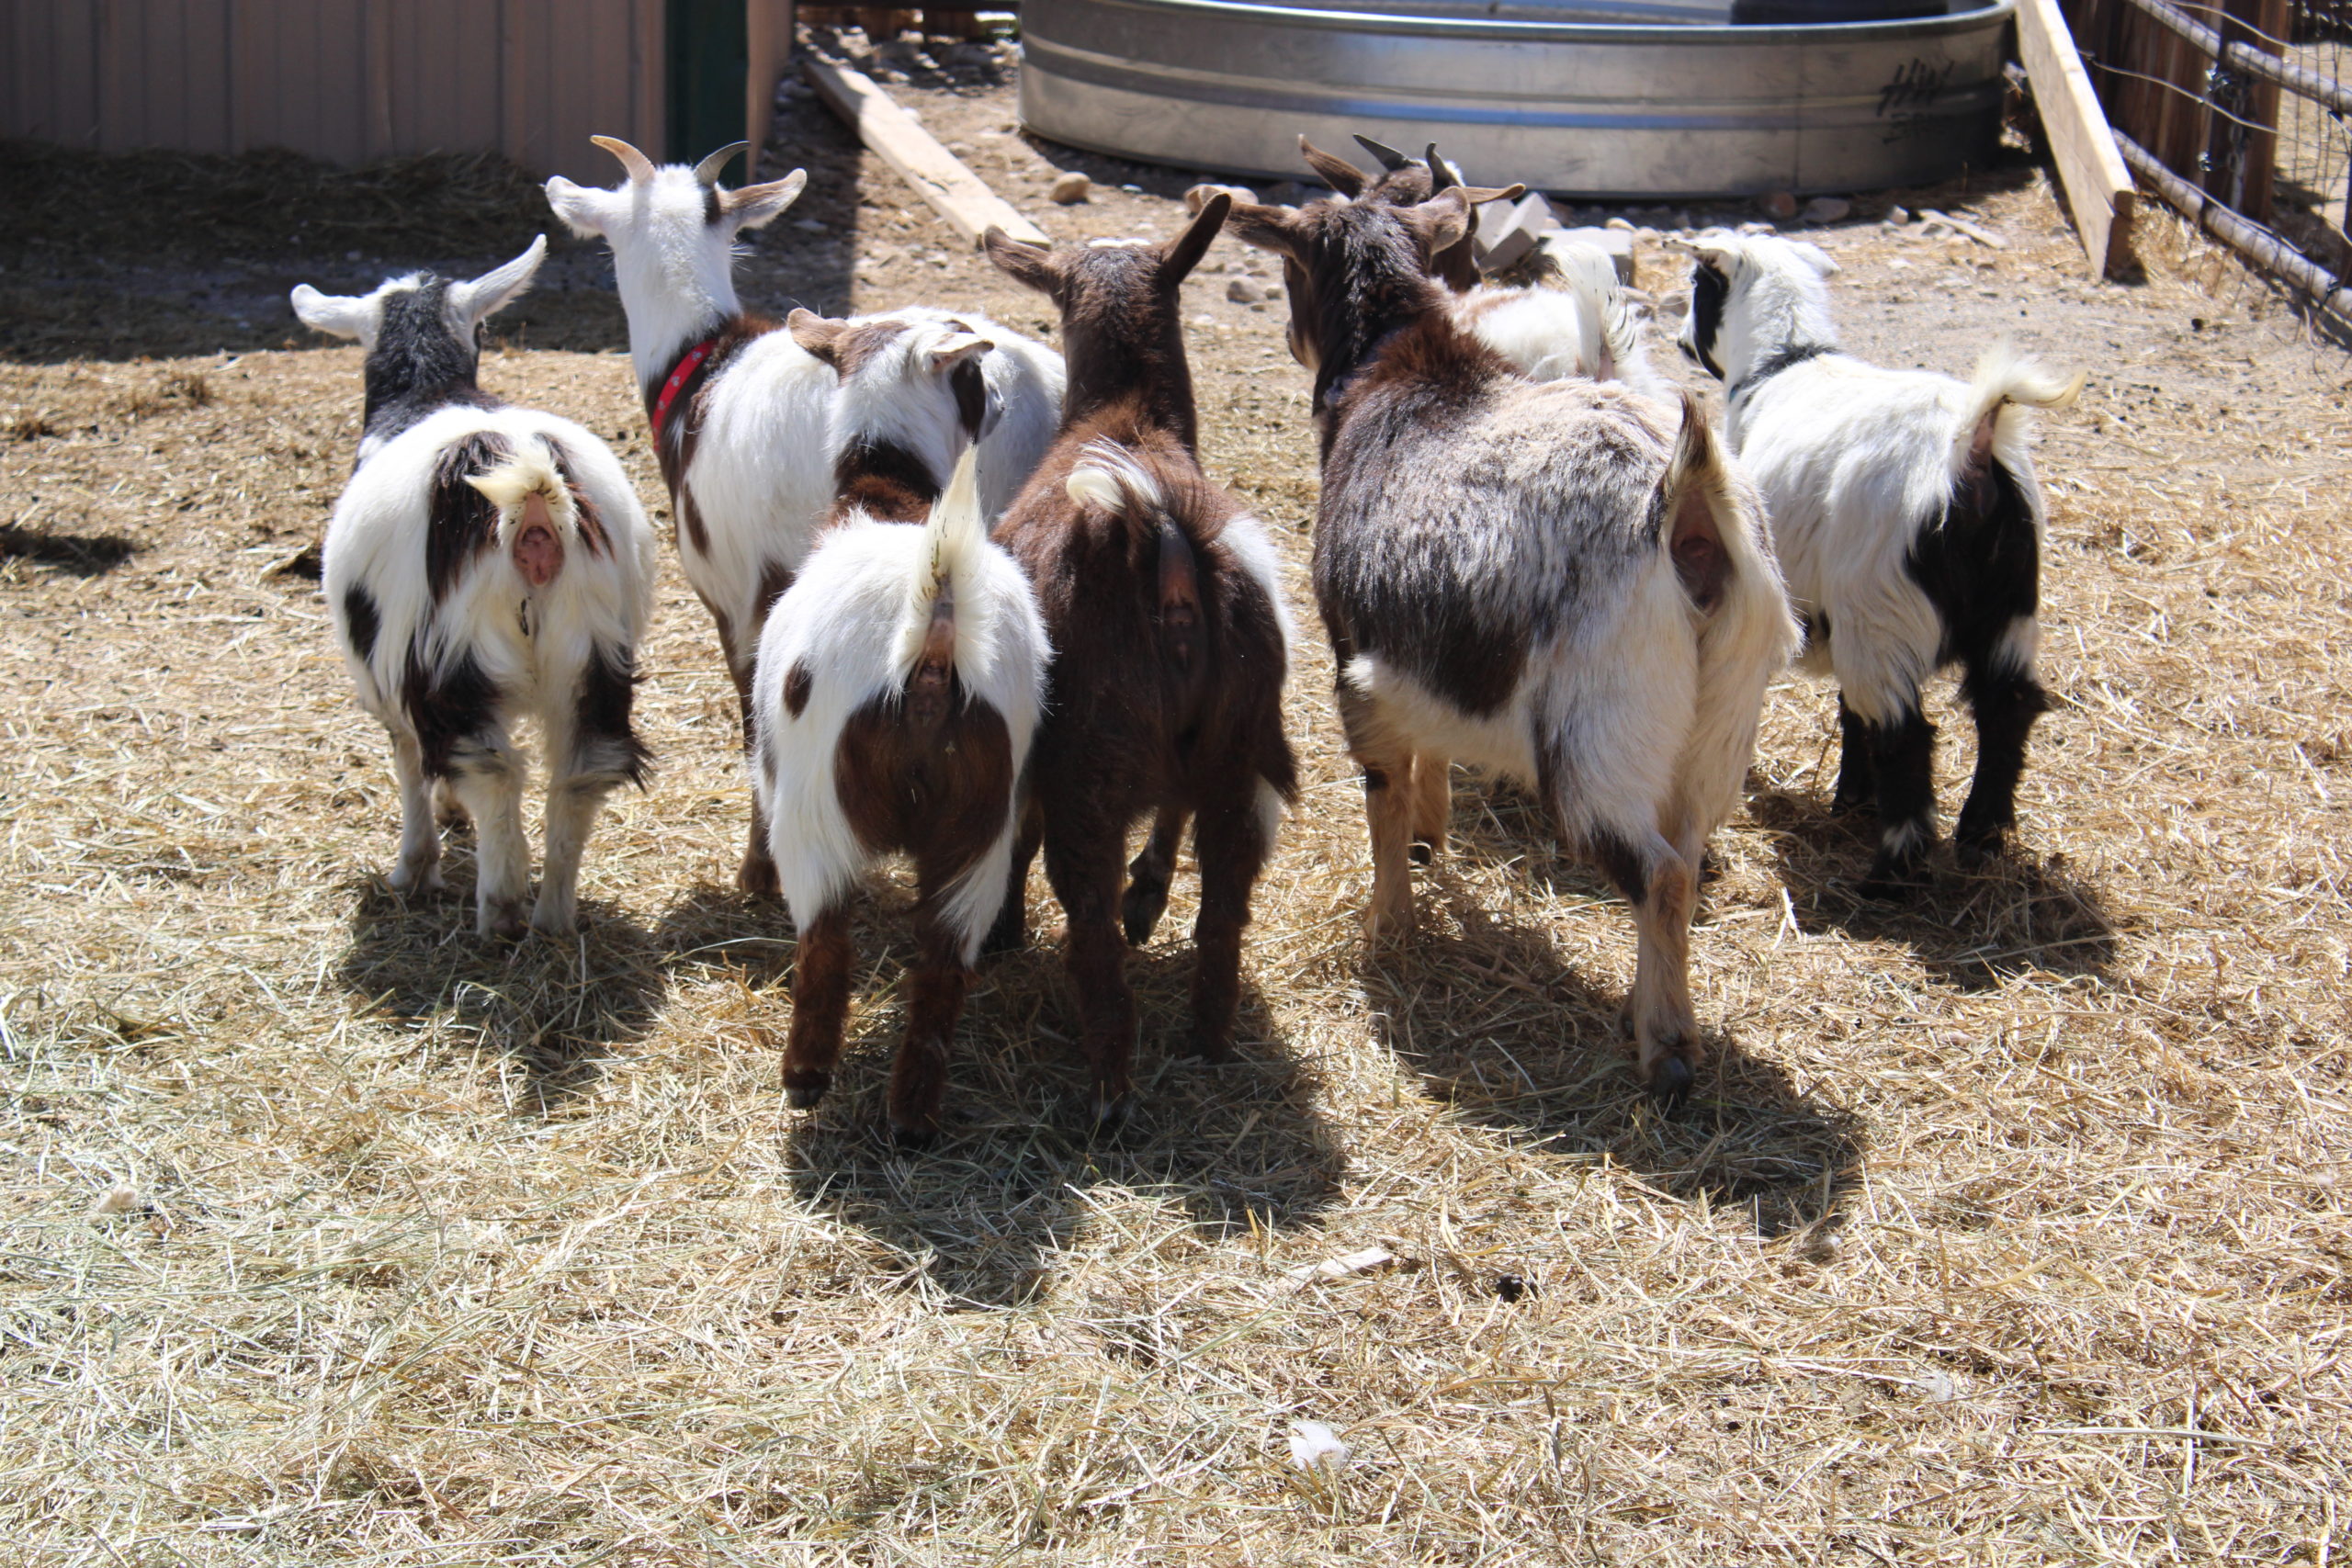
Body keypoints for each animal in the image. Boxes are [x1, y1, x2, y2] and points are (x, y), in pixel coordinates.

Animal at [294, 239, 658, 937]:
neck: (431, 389)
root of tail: (533, 496)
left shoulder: (390, 672)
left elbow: (408, 759)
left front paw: (415, 866)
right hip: (594, 650)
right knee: (581, 771)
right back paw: (552, 915)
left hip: (448, 650)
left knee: (488, 766)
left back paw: (501, 908)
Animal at [750, 315, 1049, 1145]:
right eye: (973, 374)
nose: (1000, 396)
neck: (889, 499)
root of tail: (935, 637)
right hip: (981, 826)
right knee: (945, 964)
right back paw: (913, 1115)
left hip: (815, 814)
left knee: (825, 943)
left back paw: (806, 1076)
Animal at [978, 192, 1298, 1125]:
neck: (1123, 417)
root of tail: (1157, 533)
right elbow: (1170, 821)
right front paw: (1148, 896)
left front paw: (1004, 927)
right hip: (1240, 755)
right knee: (1224, 910)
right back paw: (1208, 1037)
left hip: (1093, 760)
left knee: (1089, 931)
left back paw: (1110, 1094)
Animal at [1225, 188, 1797, 1099]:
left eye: (1289, 268)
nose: (1286, 334)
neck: (1408, 369)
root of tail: (1689, 495)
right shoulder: (1427, 651)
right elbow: (1428, 751)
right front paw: (1432, 840)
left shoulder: (1355, 659)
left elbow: (1382, 790)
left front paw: (1388, 928)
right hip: (1716, 725)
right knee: (1687, 851)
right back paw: (1653, 1014)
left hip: (1601, 731)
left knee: (1660, 873)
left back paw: (1667, 1050)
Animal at [1677, 231, 2082, 894]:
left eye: (1696, 286)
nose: (1683, 339)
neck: (1784, 364)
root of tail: (1969, 451)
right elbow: (1849, 713)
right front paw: (1850, 802)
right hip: (2006, 612)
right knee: (2005, 711)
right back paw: (1981, 836)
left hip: (1882, 610)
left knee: (1905, 733)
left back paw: (1894, 872)